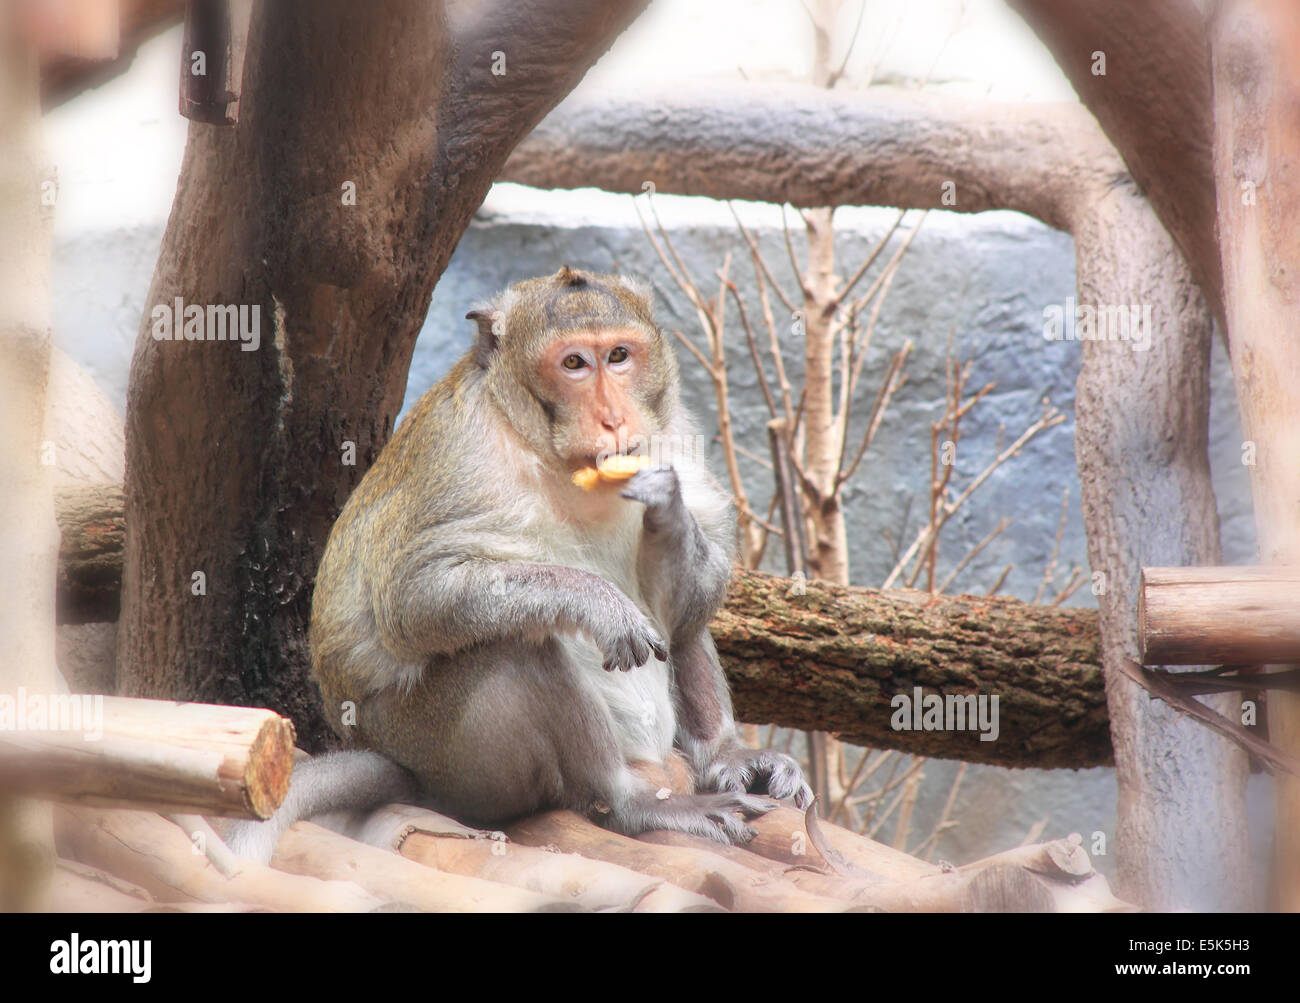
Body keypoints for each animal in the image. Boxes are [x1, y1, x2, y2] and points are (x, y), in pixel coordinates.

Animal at [224, 267, 810, 863]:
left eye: (619, 355)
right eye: (574, 364)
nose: (614, 419)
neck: (548, 451)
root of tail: (411, 773)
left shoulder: (673, 433)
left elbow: (698, 593)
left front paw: (666, 505)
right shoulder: (460, 456)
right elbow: (414, 599)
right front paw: (597, 603)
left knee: (684, 627)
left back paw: (722, 757)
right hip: (445, 753)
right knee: (514, 647)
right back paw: (631, 803)